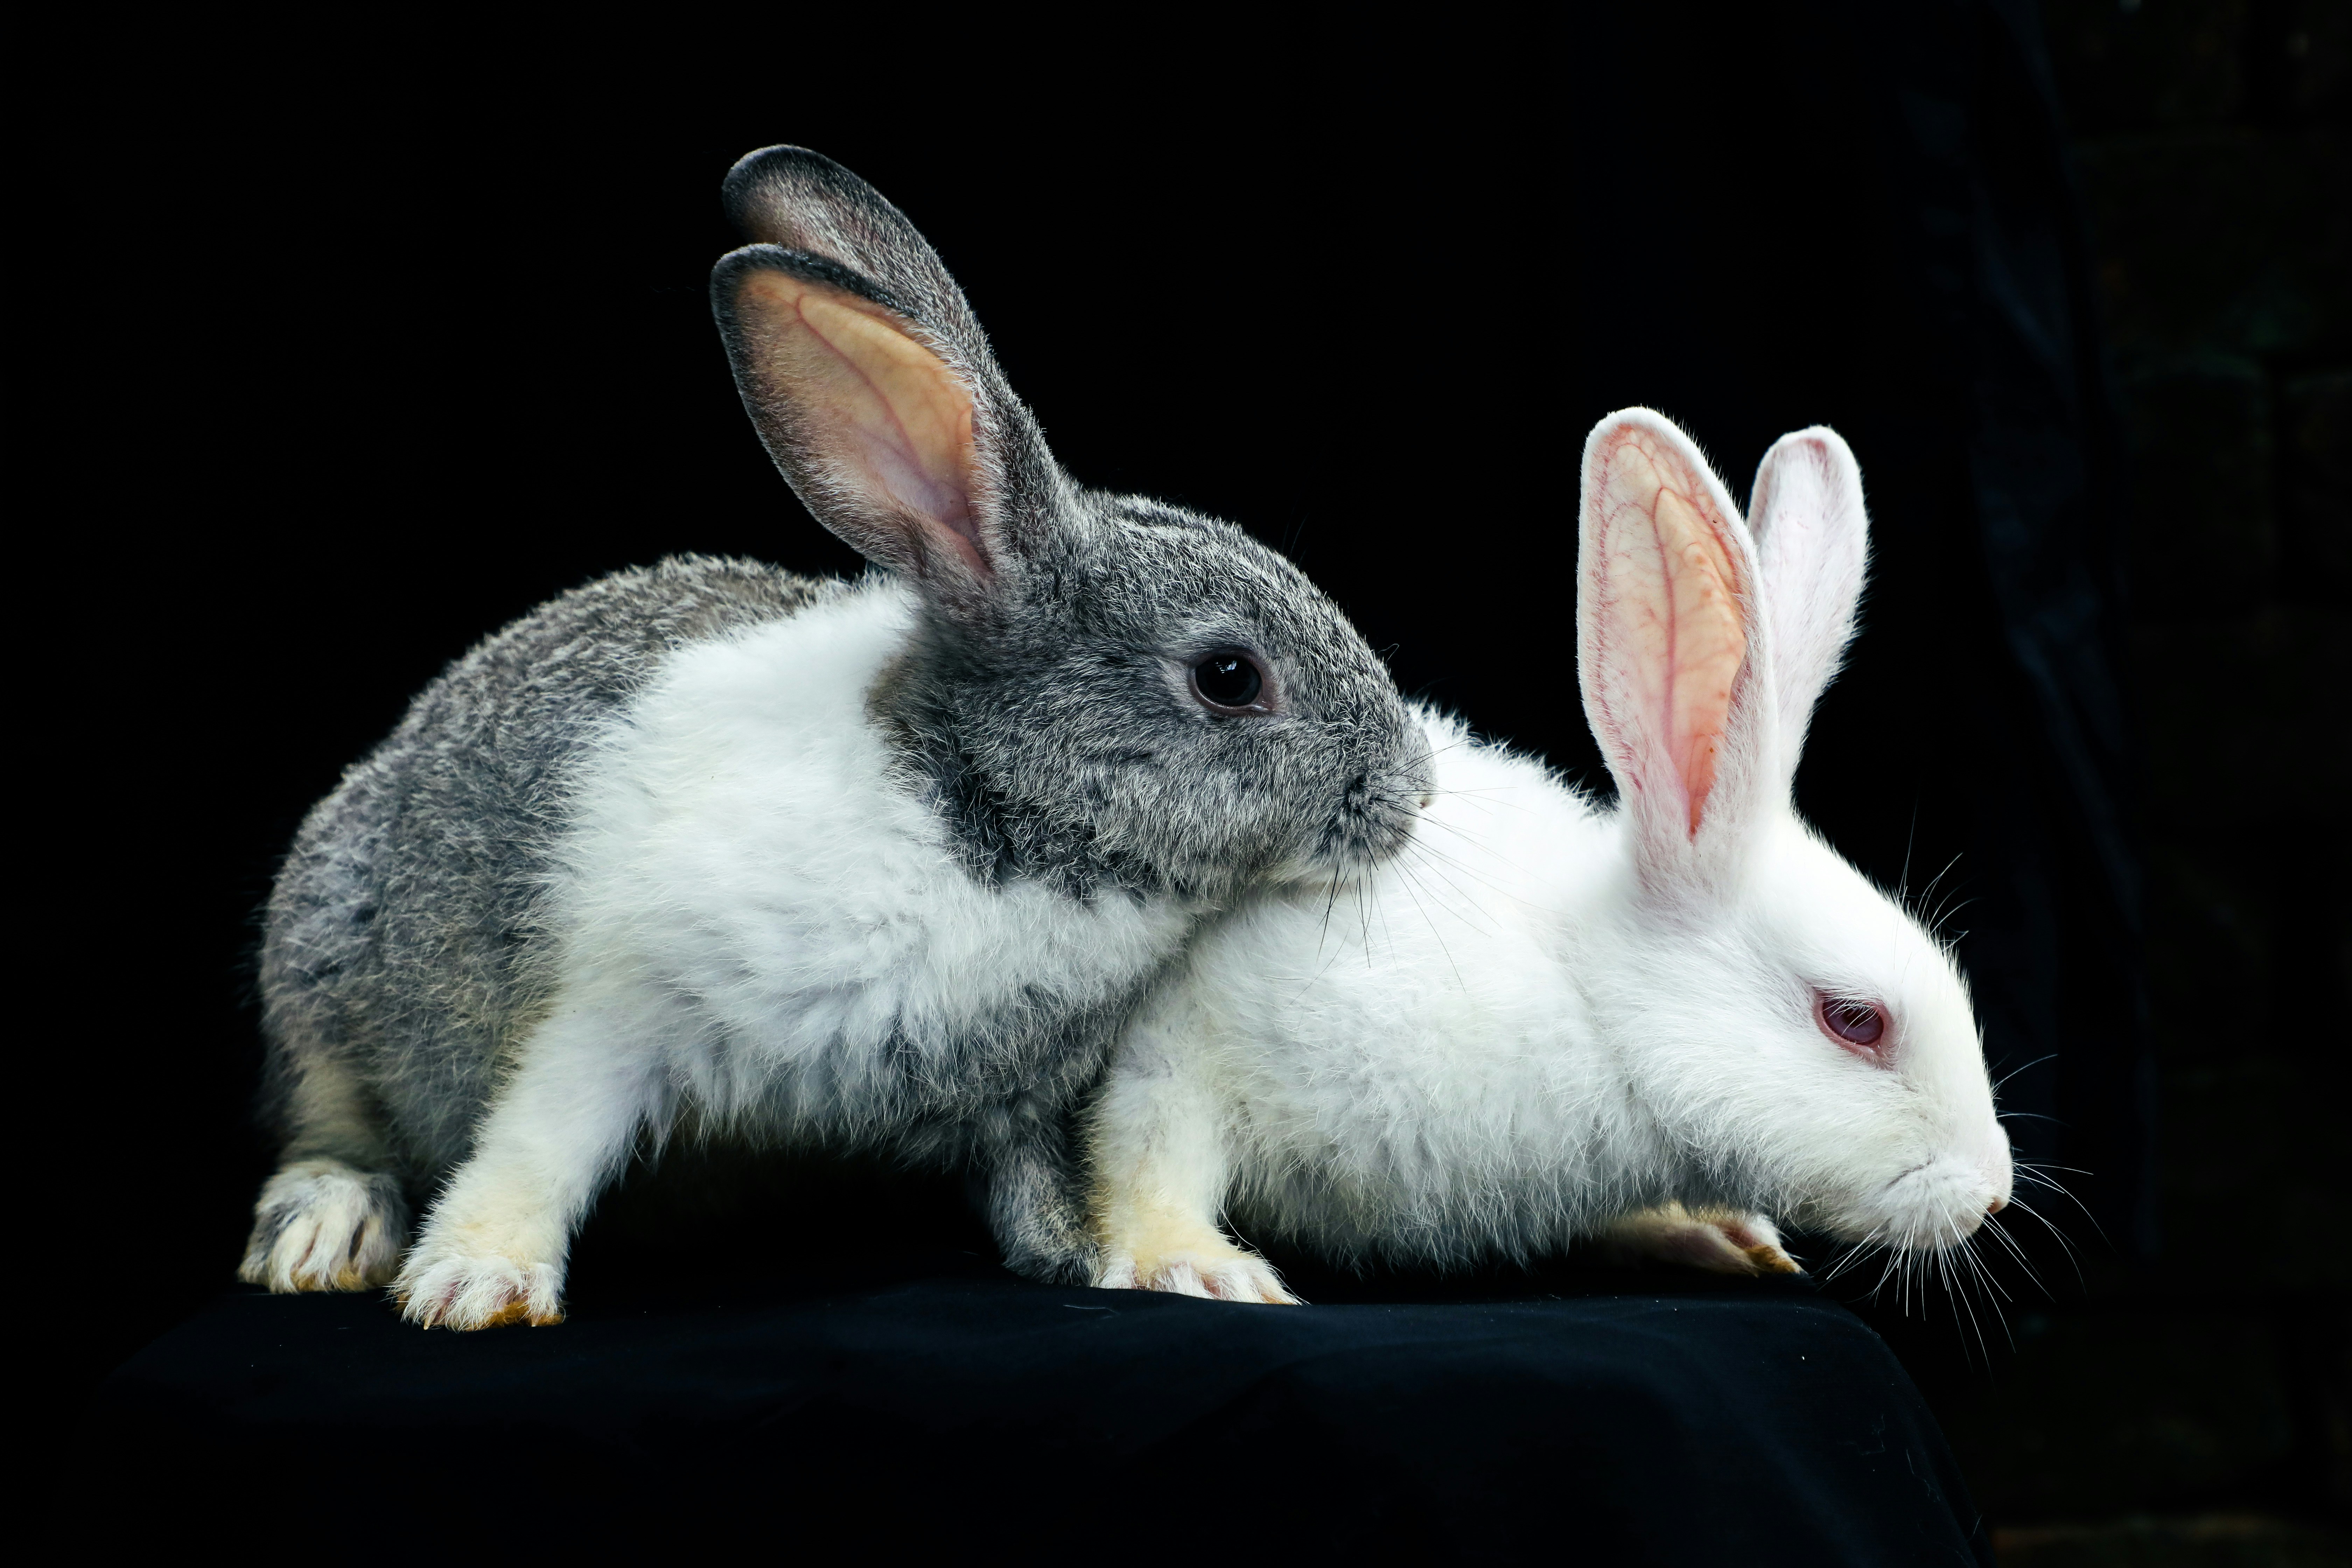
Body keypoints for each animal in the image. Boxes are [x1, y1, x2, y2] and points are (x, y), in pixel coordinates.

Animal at [237, 145, 1434, 1329]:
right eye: (1229, 678)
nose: (1411, 793)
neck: (982, 816)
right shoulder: (613, 1011)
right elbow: (538, 1142)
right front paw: (478, 1282)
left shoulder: (1018, 1102)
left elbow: (1046, 1198)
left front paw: (1157, 1261)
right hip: (320, 968)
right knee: (331, 1124)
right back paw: (328, 1230)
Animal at [1086, 409, 2014, 1303]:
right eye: (1855, 1020)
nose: (1993, 1192)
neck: (1594, 1000)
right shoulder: (1184, 1032)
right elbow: (1145, 1149)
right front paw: (1196, 1266)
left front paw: (1712, 1235)